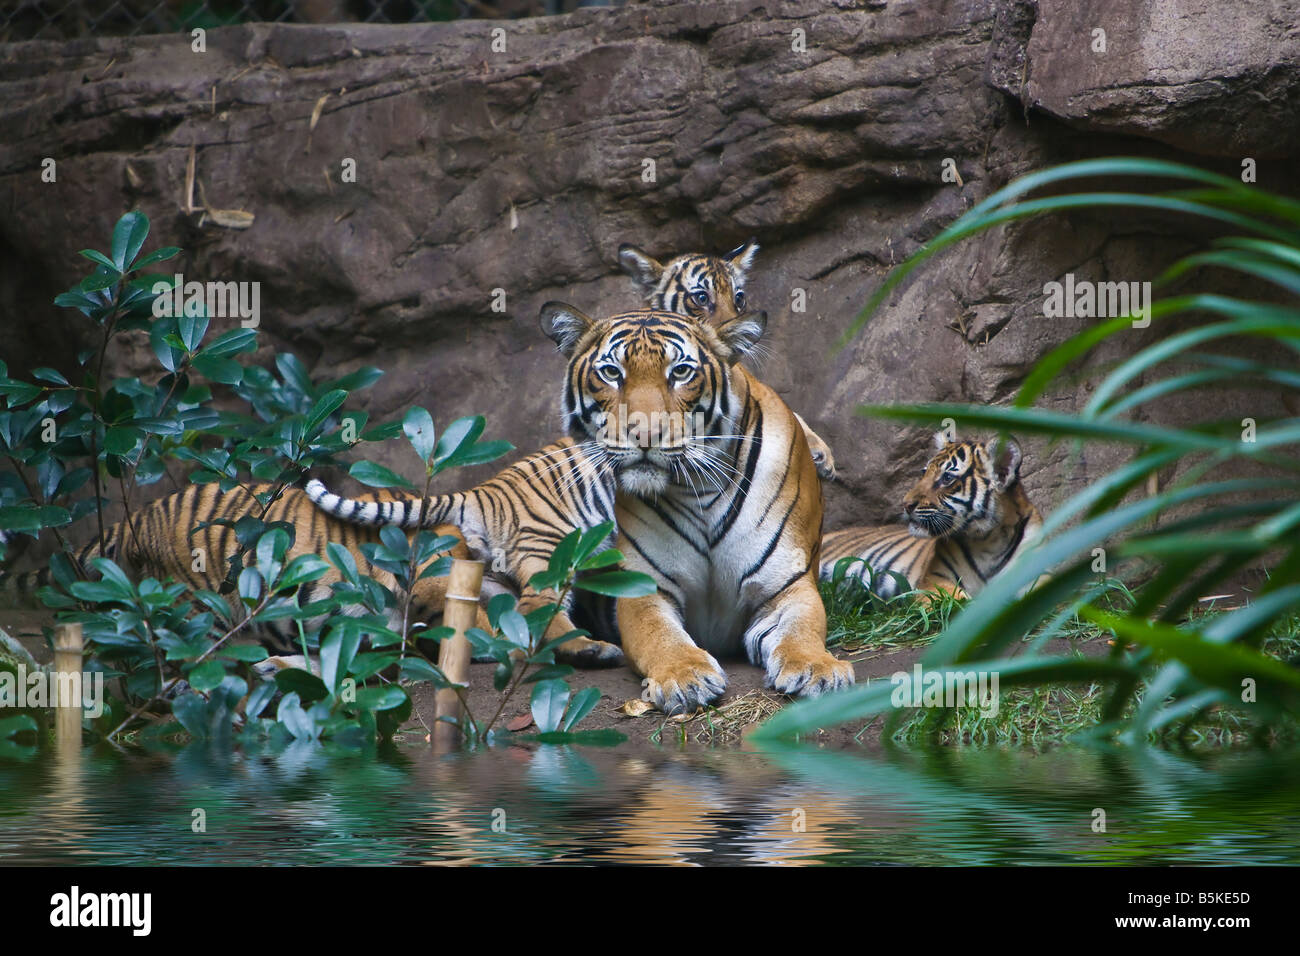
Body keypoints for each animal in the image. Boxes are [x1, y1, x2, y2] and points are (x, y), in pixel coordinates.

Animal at [538, 303, 854, 715]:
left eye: (680, 372)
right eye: (611, 373)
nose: (645, 434)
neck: (700, 492)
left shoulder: (785, 586)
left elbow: (801, 630)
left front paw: (818, 670)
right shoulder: (645, 588)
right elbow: (659, 636)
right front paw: (685, 676)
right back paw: (587, 648)